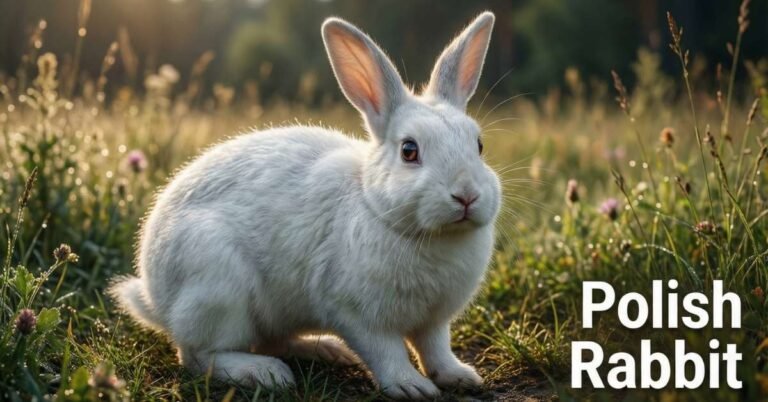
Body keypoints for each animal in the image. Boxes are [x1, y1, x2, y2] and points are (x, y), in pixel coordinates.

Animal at [110, 11, 500, 400]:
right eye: (409, 150)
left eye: (479, 145)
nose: (466, 195)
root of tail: (156, 298)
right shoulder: (357, 314)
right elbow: (386, 352)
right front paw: (410, 386)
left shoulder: (434, 321)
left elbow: (435, 348)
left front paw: (460, 376)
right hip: (217, 290)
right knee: (199, 354)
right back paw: (265, 373)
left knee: (272, 340)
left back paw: (326, 349)